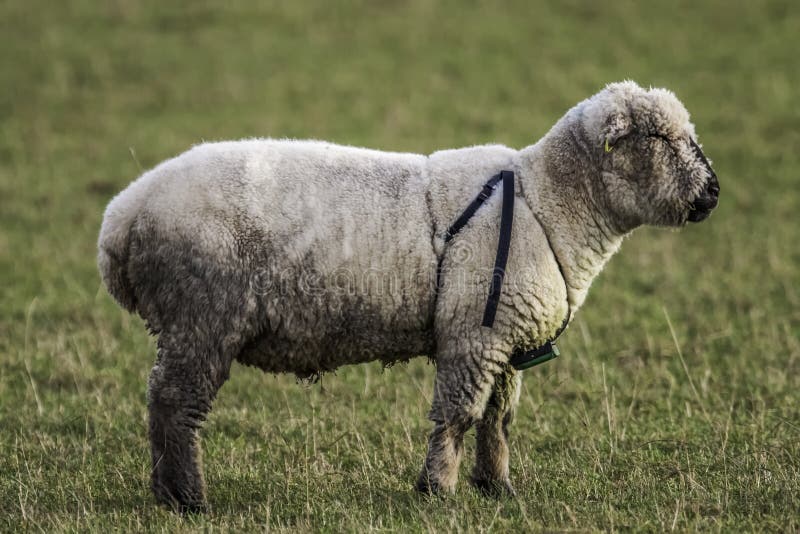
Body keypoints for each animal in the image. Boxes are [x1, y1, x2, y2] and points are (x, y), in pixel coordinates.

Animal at [98, 81, 719, 512]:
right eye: (658, 136)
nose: (713, 193)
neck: (547, 202)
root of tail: (122, 218)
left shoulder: (505, 340)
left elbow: (499, 422)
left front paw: (498, 488)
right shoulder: (474, 334)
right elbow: (458, 416)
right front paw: (437, 490)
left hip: (190, 320)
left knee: (164, 405)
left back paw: (168, 495)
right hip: (202, 315)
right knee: (174, 405)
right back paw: (187, 499)